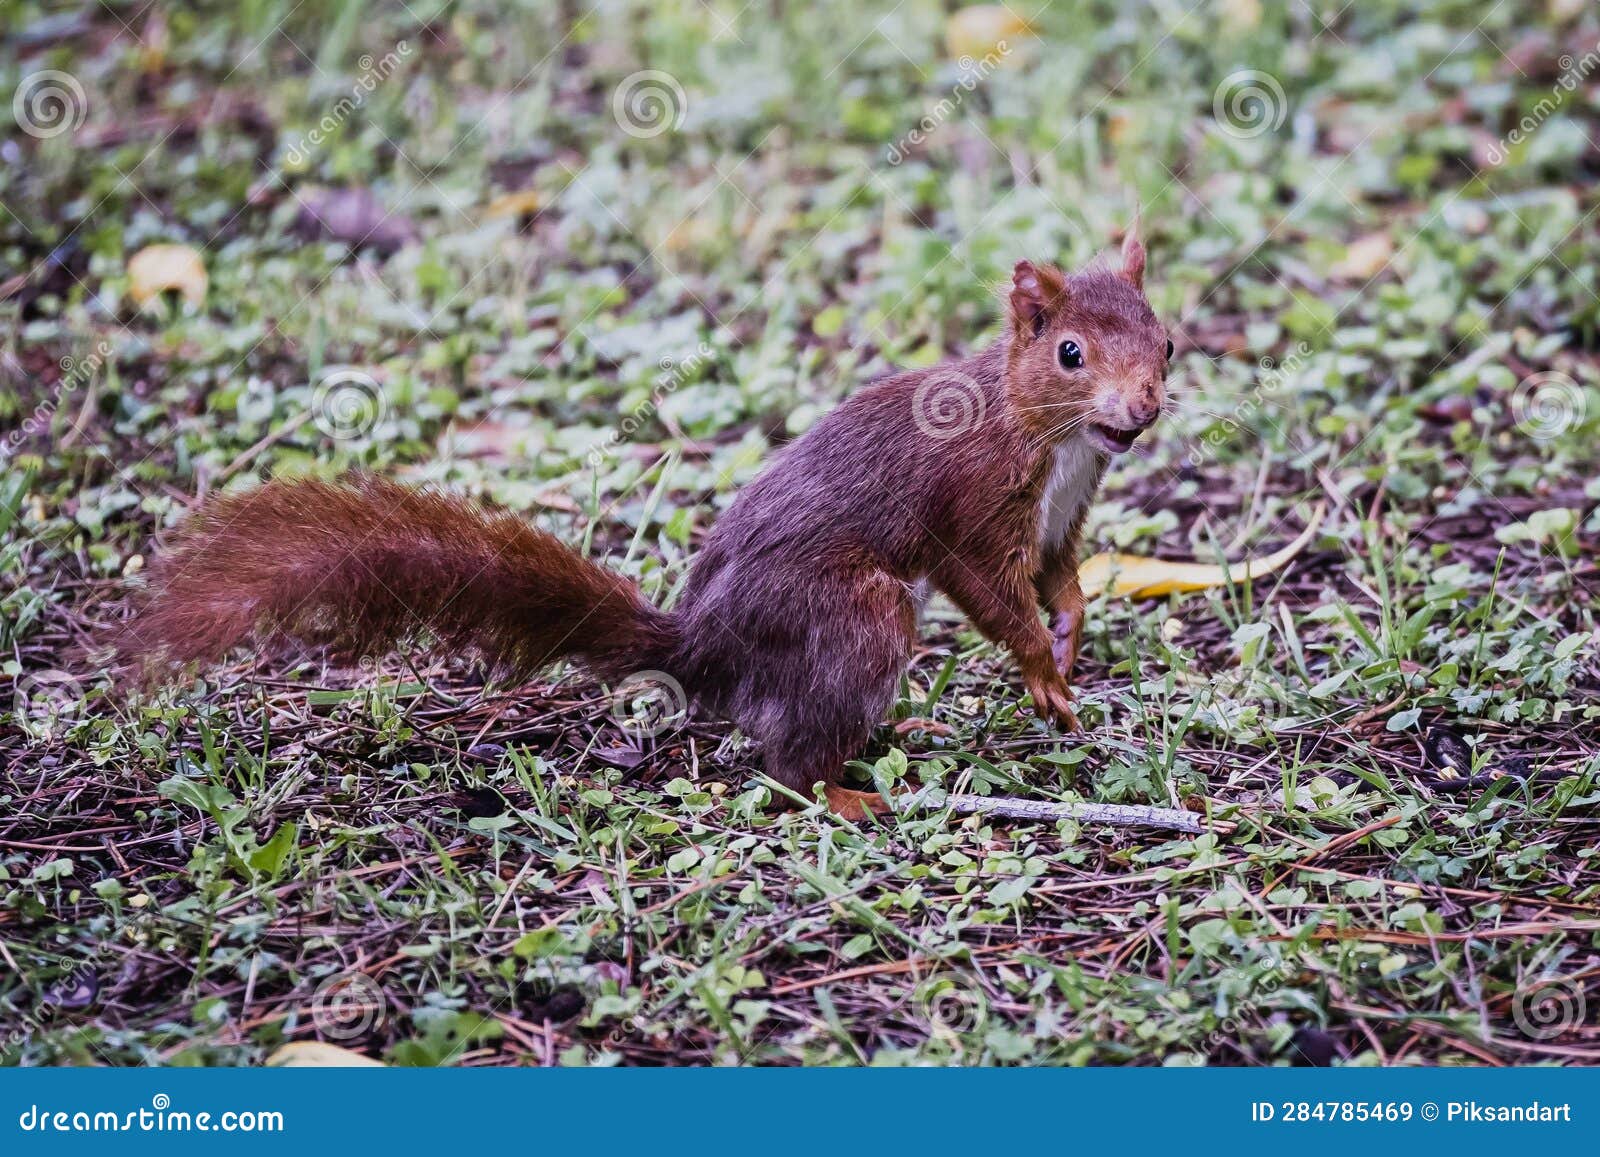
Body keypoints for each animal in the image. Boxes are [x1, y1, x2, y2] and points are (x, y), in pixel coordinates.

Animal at [121, 228, 1169, 817]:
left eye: (1164, 338)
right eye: (1071, 353)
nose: (1144, 407)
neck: (1057, 440)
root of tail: (706, 644)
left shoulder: (1061, 514)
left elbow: (1061, 577)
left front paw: (1070, 637)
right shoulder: (971, 504)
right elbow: (991, 590)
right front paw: (1042, 672)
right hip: (855, 611)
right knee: (786, 762)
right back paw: (846, 793)